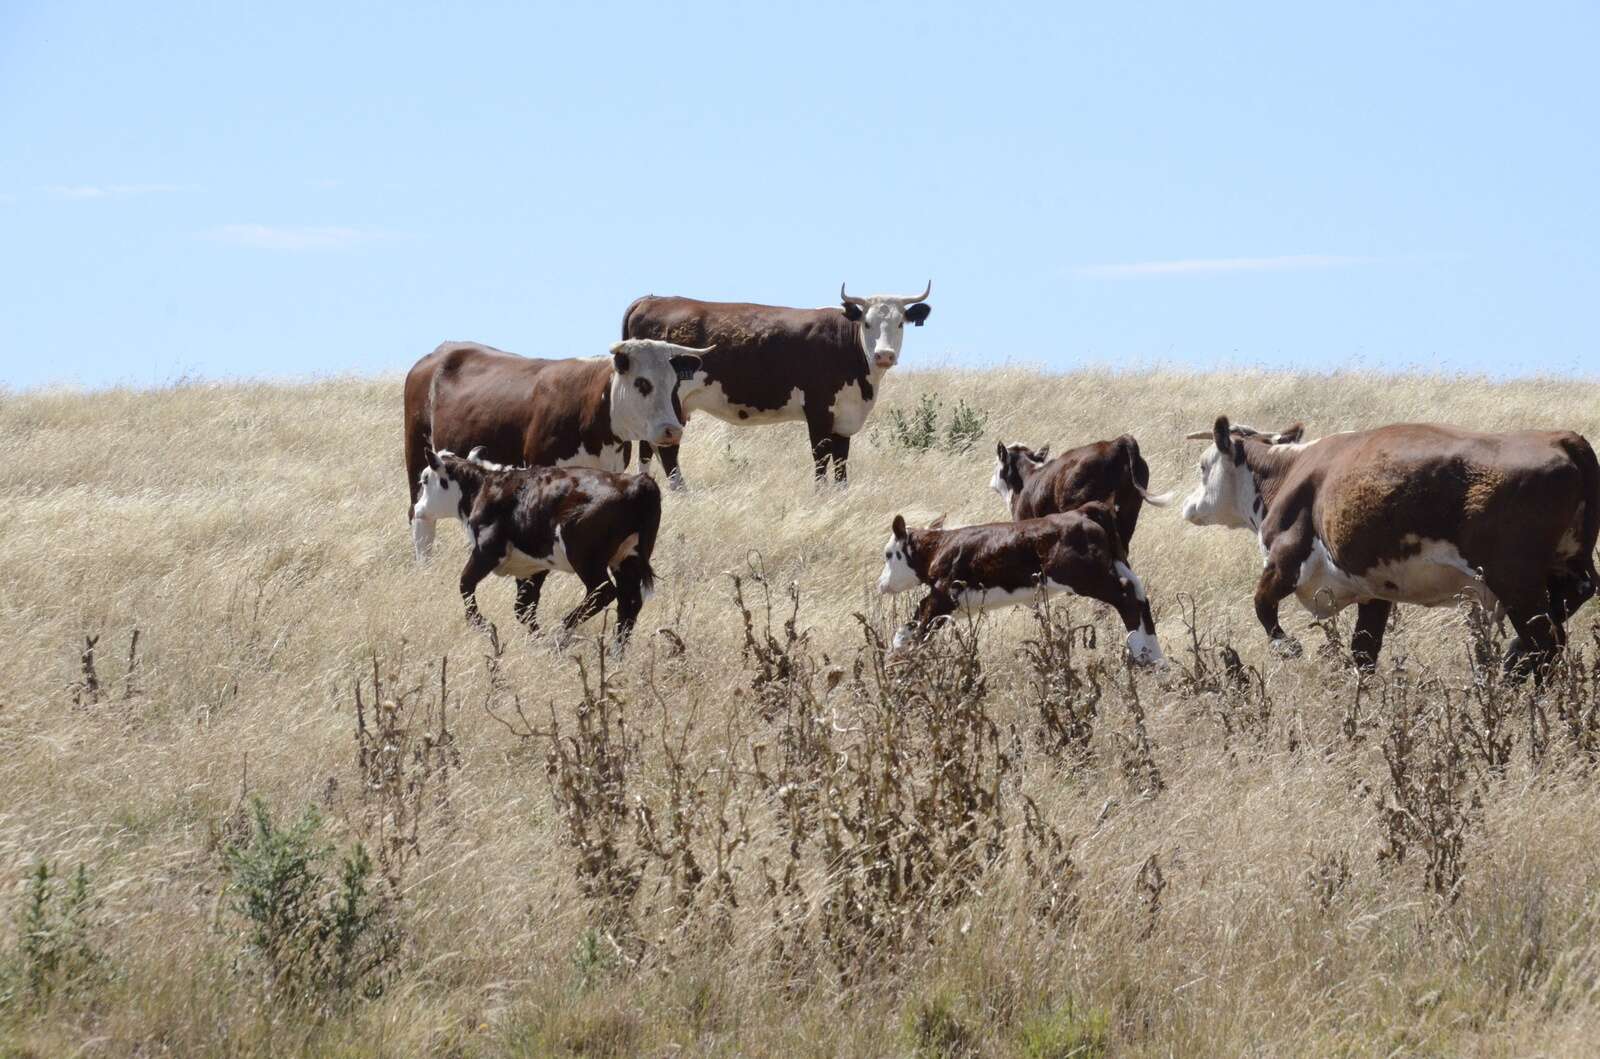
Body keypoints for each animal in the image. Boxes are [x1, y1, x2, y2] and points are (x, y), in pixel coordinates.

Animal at [403, 337, 707, 568]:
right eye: (642, 383)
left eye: (674, 384)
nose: (671, 430)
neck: (590, 408)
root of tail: (438, 354)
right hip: (418, 454)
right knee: (419, 516)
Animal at [411, 449, 660, 652]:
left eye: (424, 480)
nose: (417, 509)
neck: (483, 489)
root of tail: (635, 484)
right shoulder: (532, 567)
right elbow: (523, 609)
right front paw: (537, 639)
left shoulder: (486, 553)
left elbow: (465, 585)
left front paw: (483, 625)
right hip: (626, 560)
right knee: (630, 602)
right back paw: (616, 653)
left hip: (586, 560)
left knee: (603, 592)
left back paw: (561, 634)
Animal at [620, 282, 933, 487]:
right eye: (867, 323)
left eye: (900, 323)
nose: (884, 354)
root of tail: (651, 299)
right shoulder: (818, 411)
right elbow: (821, 460)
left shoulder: (845, 416)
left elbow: (841, 466)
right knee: (667, 452)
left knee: (649, 448)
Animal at [875, 505, 1166, 665]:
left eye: (889, 554)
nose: (881, 584)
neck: (941, 547)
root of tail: (1082, 512)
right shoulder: (952, 604)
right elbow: (912, 624)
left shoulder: (943, 595)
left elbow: (916, 625)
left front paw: (896, 661)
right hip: (1114, 565)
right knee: (1140, 598)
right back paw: (1156, 659)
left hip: (1086, 577)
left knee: (1126, 596)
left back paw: (1141, 655)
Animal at [1180, 417, 1600, 676]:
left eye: (1203, 466)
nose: (1189, 506)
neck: (1287, 474)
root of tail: (1562, 438)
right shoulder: (1374, 590)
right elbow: (1363, 652)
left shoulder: (1286, 562)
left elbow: (1263, 607)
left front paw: (1289, 647)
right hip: (1566, 569)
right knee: (1562, 616)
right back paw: (1508, 666)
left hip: (1515, 580)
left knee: (1544, 644)